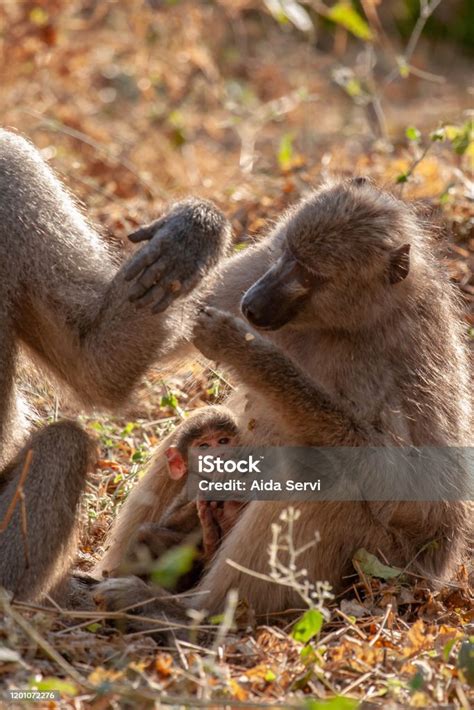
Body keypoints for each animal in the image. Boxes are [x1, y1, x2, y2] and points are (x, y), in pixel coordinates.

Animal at [94, 176, 472, 625]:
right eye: (287, 254)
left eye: (310, 274)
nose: (252, 304)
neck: (349, 319)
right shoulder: (255, 267)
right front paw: (191, 230)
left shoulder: (397, 353)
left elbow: (394, 480)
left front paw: (245, 350)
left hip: (389, 567)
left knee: (327, 474)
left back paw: (188, 613)